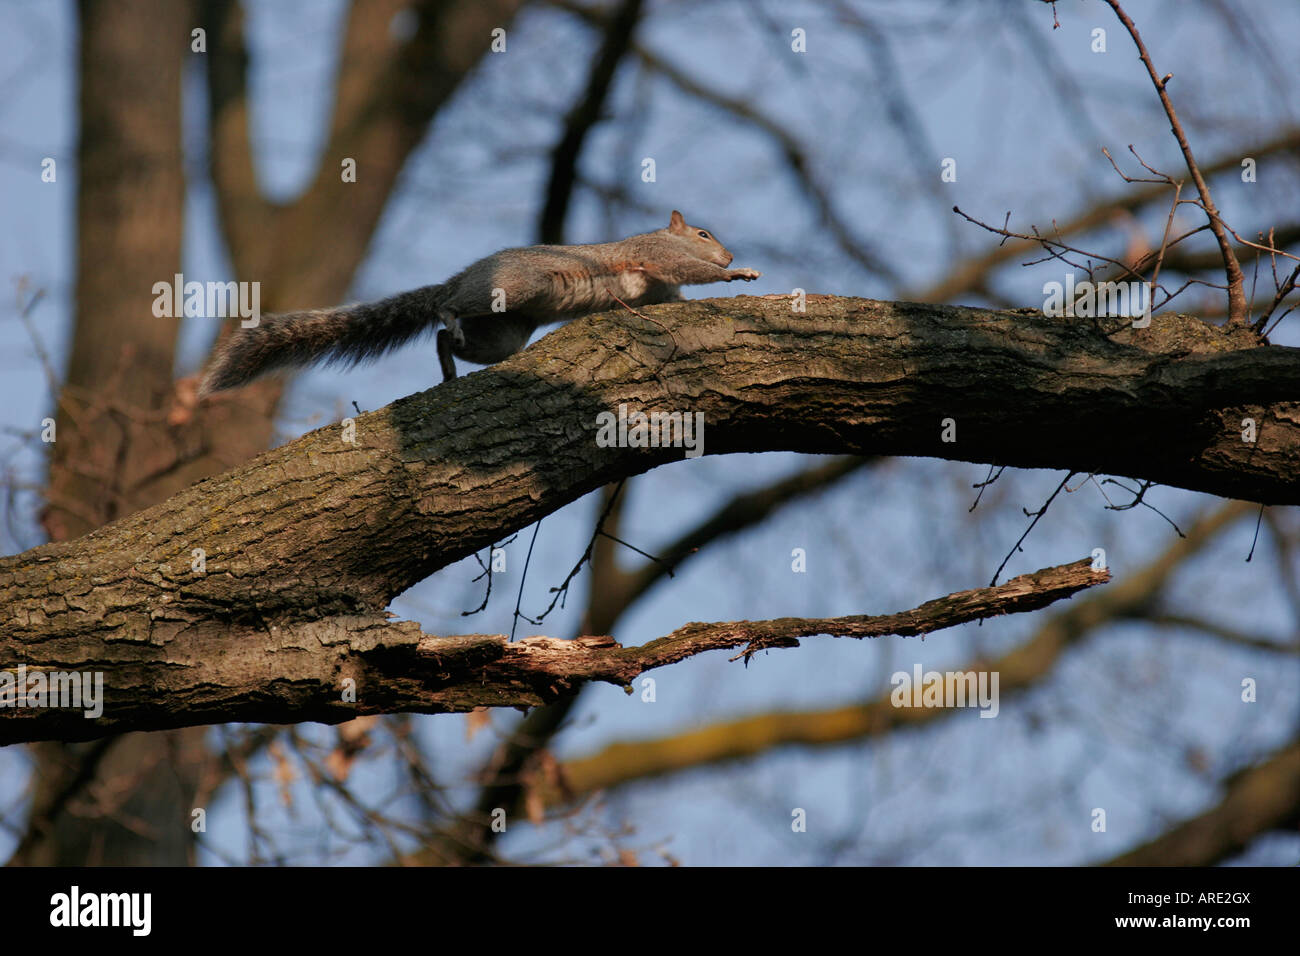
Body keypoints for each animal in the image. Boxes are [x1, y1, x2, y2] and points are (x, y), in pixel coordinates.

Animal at [198, 210, 760, 395]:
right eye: (704, 233)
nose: (731, 251)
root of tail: (459, 278)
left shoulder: (663, 287)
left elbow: (673, 298)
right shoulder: (656, 257)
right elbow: (690, 271)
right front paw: (736, 272)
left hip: (504, 334)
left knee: (446, 337)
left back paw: (448, 368)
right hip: (514, 289)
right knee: (448, 310)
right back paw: (448, 314)